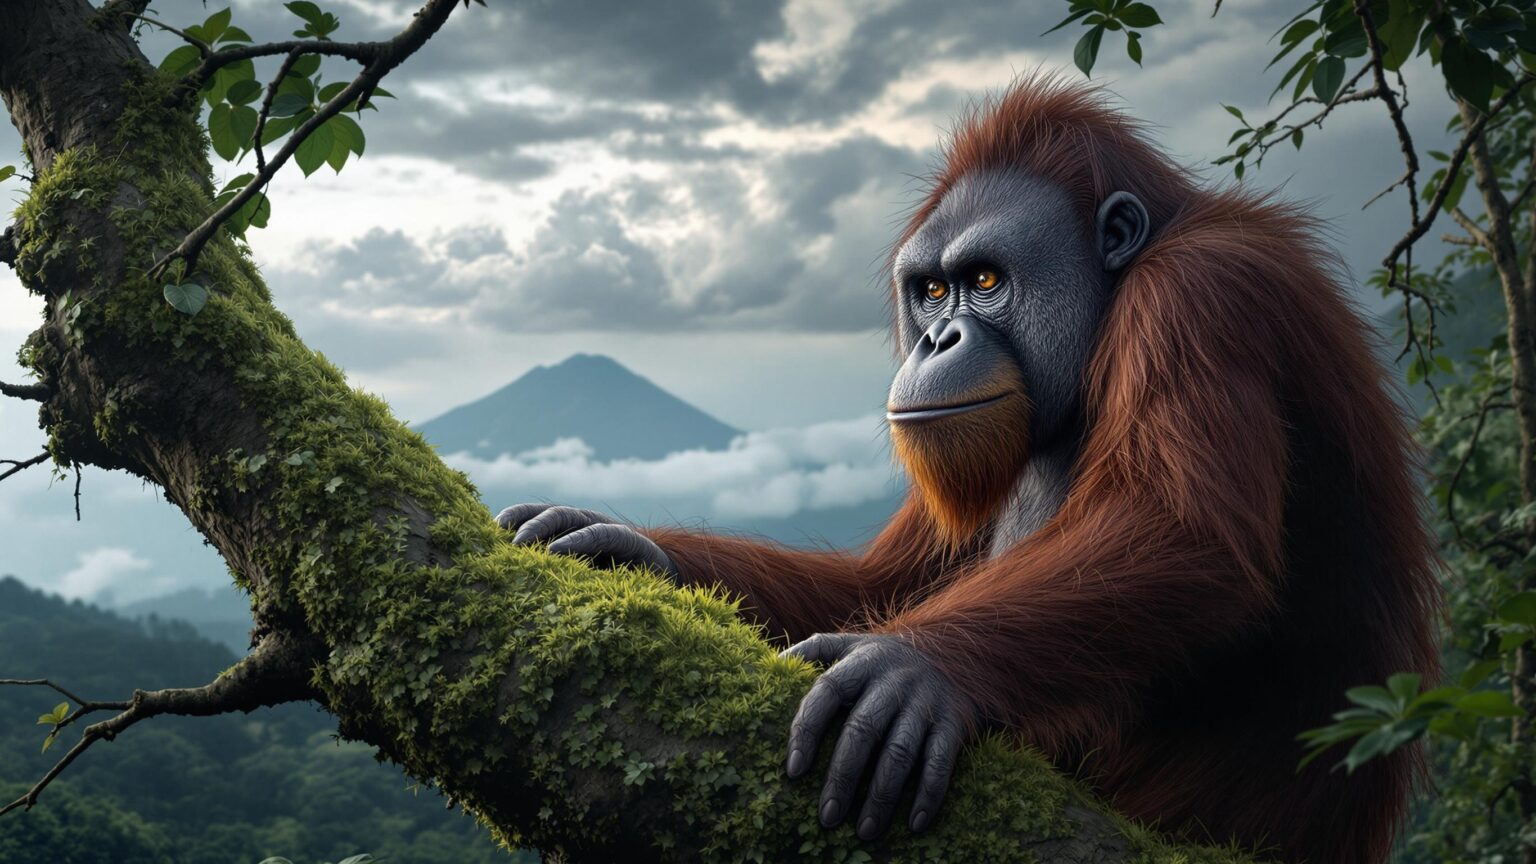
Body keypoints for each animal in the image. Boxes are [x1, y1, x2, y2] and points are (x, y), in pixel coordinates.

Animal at [497, 76, 1440, 863]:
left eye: (984, 281)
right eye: (929, 291)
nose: (937, 340)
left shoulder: (1203, 298)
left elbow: (1185, 535)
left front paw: (919, 670)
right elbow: (886, 580)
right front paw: (626, 548)